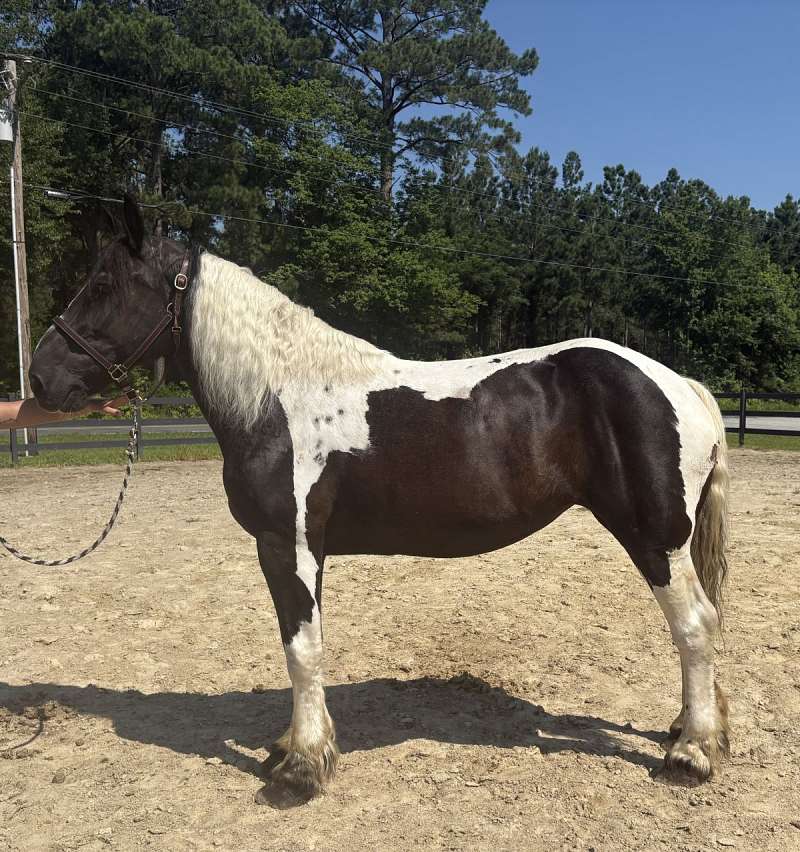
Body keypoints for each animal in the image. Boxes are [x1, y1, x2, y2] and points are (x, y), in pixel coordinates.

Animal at [29, 196, 731, 808]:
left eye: (104, 286)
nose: (40, 379)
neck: (277, 397)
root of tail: (678, 384)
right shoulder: (298, 550)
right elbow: (301, 646)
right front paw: (295, 747)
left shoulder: (288, 545)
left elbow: (302, 649)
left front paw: (300, 769)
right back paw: (690, 730)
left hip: (653, 537)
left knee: (695, 625)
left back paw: (691, 754)